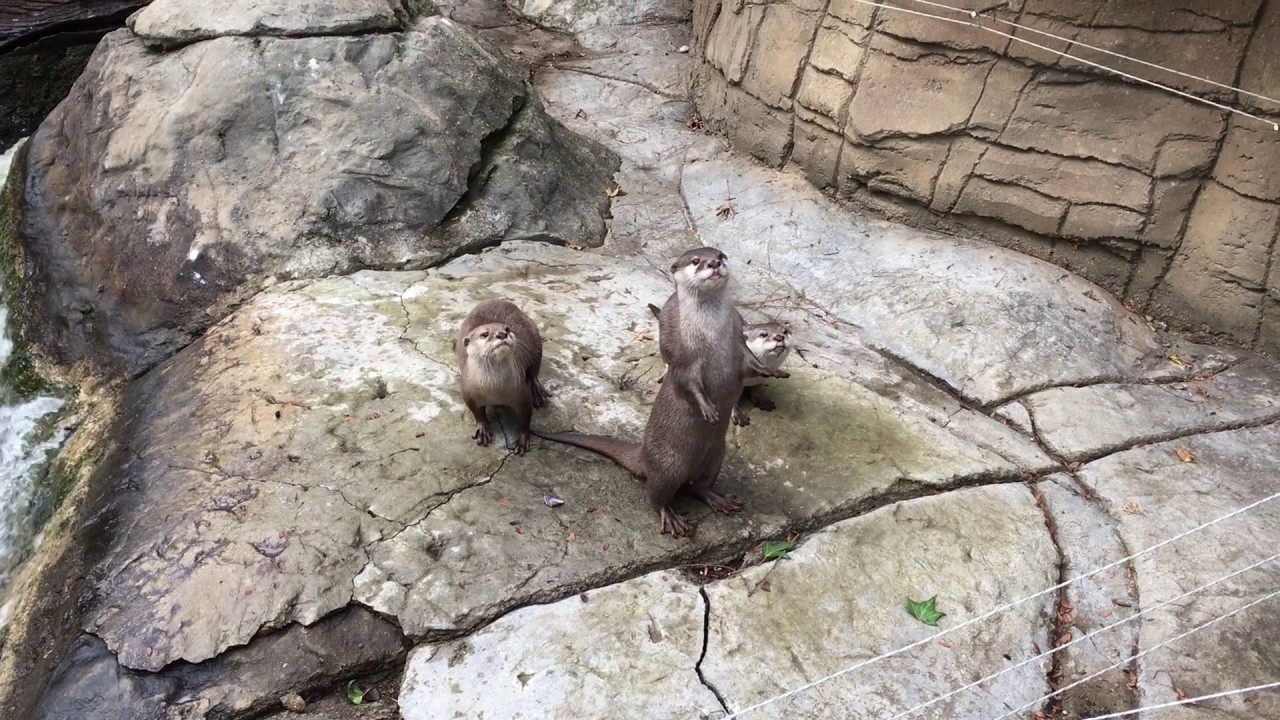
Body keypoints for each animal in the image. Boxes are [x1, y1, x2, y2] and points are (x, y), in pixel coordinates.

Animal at [456, 299, 550, 455]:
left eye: (507, 329)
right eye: (484, 334)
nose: (501, 334)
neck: (494, 389)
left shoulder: (522, 394)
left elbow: (525, 418)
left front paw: (522, 440)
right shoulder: (468, 392)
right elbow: (477, 413)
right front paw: (482, 429)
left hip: (534, 337)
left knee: (534, 369)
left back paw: (537, 391)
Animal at [534, 247, 787, 537]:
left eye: (720, 254)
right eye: (696, 261)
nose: (714, 263)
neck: (713, 335)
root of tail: (644, 454)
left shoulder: (738, 346)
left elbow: (751, 366)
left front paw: (772, 371)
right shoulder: (685, 355)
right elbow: (686, 382)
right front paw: (708, 409)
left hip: (716, 457)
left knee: (699, 486)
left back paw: (718, 499)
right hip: (668, 467)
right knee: (656, 495)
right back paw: (671, 518)